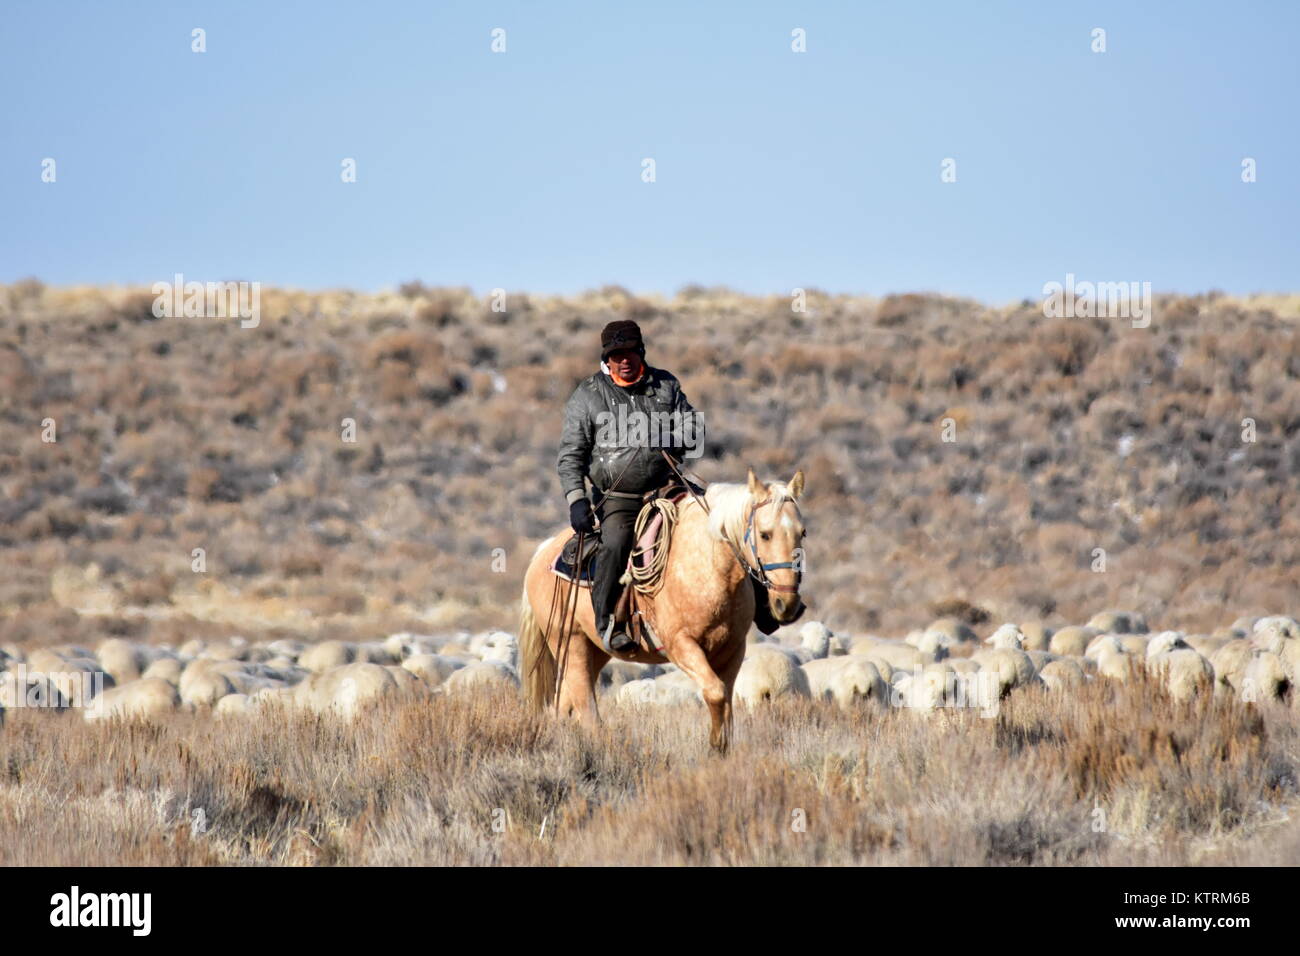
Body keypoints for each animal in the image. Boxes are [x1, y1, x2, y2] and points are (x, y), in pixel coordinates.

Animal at [519, 468, 807, 752]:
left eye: (802, 533)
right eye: (765, 534)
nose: (787, 603)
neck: (707, 563)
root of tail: (543, 553)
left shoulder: (732, 649)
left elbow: (725, 705)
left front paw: (720, 749)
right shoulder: (681, 645)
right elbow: (715, 693)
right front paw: (714, 747)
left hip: (595, 650)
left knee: (565, 705)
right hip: (570, 643)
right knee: (586, 708)